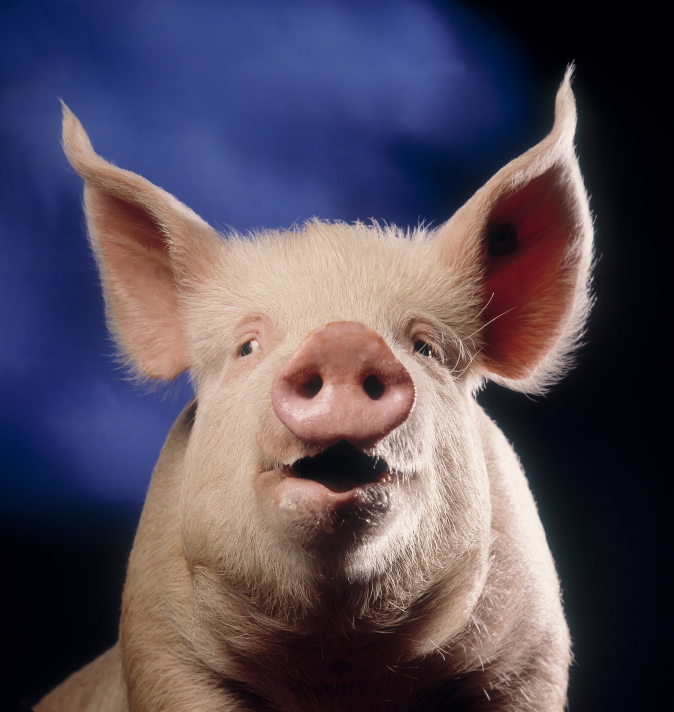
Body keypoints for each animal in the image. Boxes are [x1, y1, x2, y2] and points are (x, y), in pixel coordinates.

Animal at [36, 68, 593, 712]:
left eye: (425, 347)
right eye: (247, 347)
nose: (343, 339)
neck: (337, 665)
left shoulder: (526, 660)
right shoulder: (164, 650)